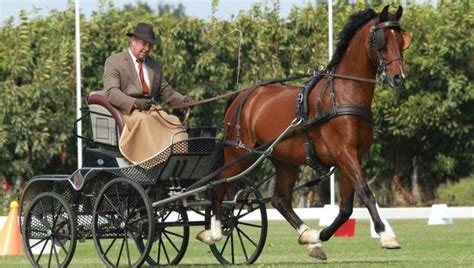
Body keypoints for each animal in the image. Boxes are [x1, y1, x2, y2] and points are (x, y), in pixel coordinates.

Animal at [196, 4, 412, 260]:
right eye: (381, 41)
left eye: (402, 40)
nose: (399, 77)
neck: (342, 94)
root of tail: (242, 95)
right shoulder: (344, 153)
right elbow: (366, 192)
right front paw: (386, 235)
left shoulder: (351, 158)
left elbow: (346, 208)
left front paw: (319, 237)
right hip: (239, 154)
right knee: (218, 186)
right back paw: (215, 231)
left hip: (284, 160)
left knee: (280, 200)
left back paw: (307, 234)